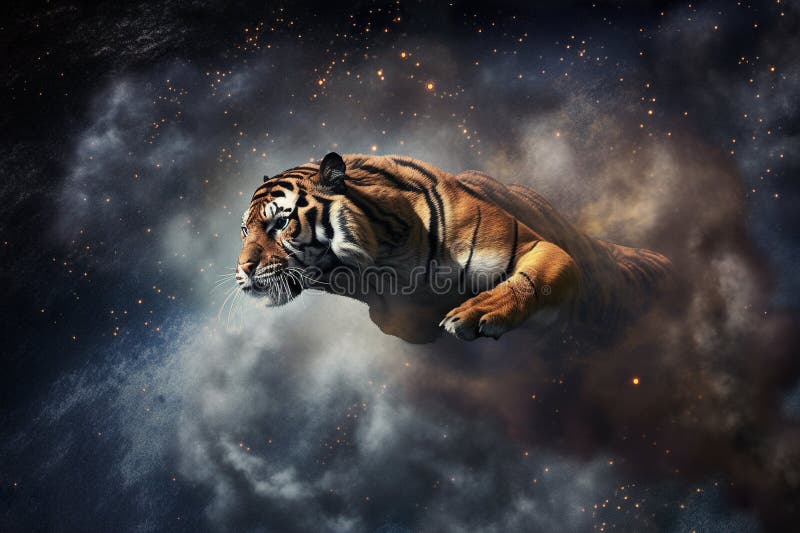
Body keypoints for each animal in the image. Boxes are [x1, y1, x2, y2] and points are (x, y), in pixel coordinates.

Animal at [235, 152, 672, 343]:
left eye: (280, 222)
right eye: (244, 230)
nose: (243, 270)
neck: (382, 265)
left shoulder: (537, 245)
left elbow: (527, 280)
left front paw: (479, 311)